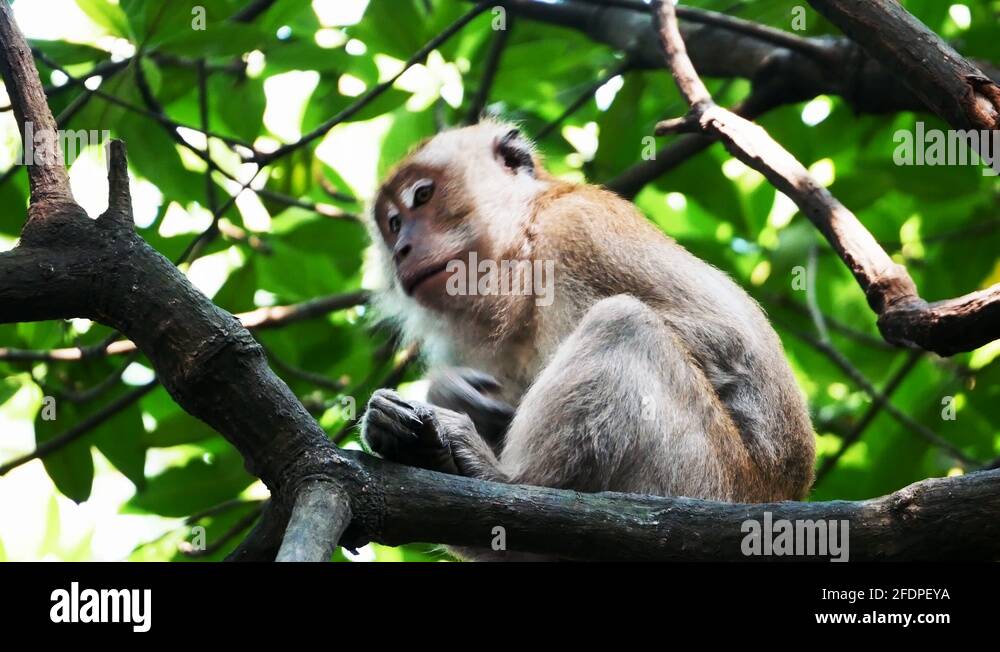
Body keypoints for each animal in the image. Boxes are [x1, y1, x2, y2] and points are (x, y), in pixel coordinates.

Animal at [359, 119, 815, 559]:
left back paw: (511, 480)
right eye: (393, 224)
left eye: (422, 196)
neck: (524, 242)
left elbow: (729, 344)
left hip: (705, 481)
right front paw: (452, 390)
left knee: (624, 324)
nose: (401, 248)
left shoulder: (579, 228)